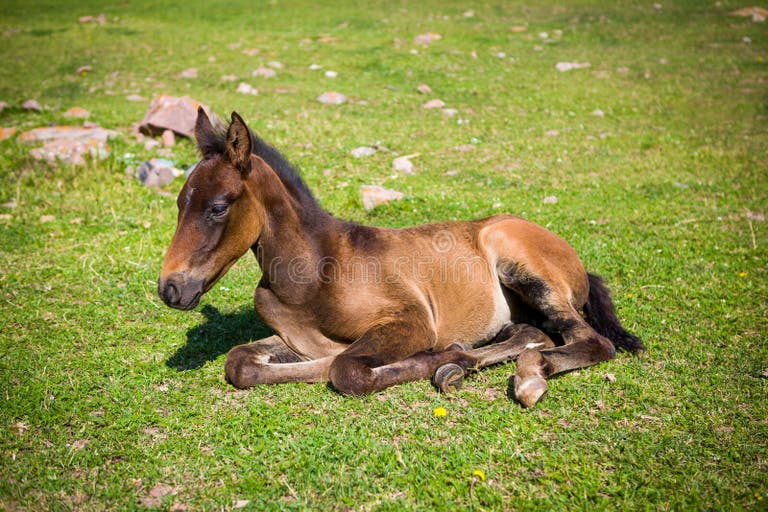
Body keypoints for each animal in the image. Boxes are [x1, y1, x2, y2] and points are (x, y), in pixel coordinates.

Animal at [158, 109, 644, 408]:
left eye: (218, 207)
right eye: (179, 203)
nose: (170, 289)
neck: (316, 271)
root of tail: (577, 260)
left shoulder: (412, 320)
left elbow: (346, 368)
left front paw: (448, 356)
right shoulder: (293, 339)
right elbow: (243, 362)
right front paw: (453, 358)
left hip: (521, 264)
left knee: (589, 341)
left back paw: (526, 375)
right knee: (532, 333)